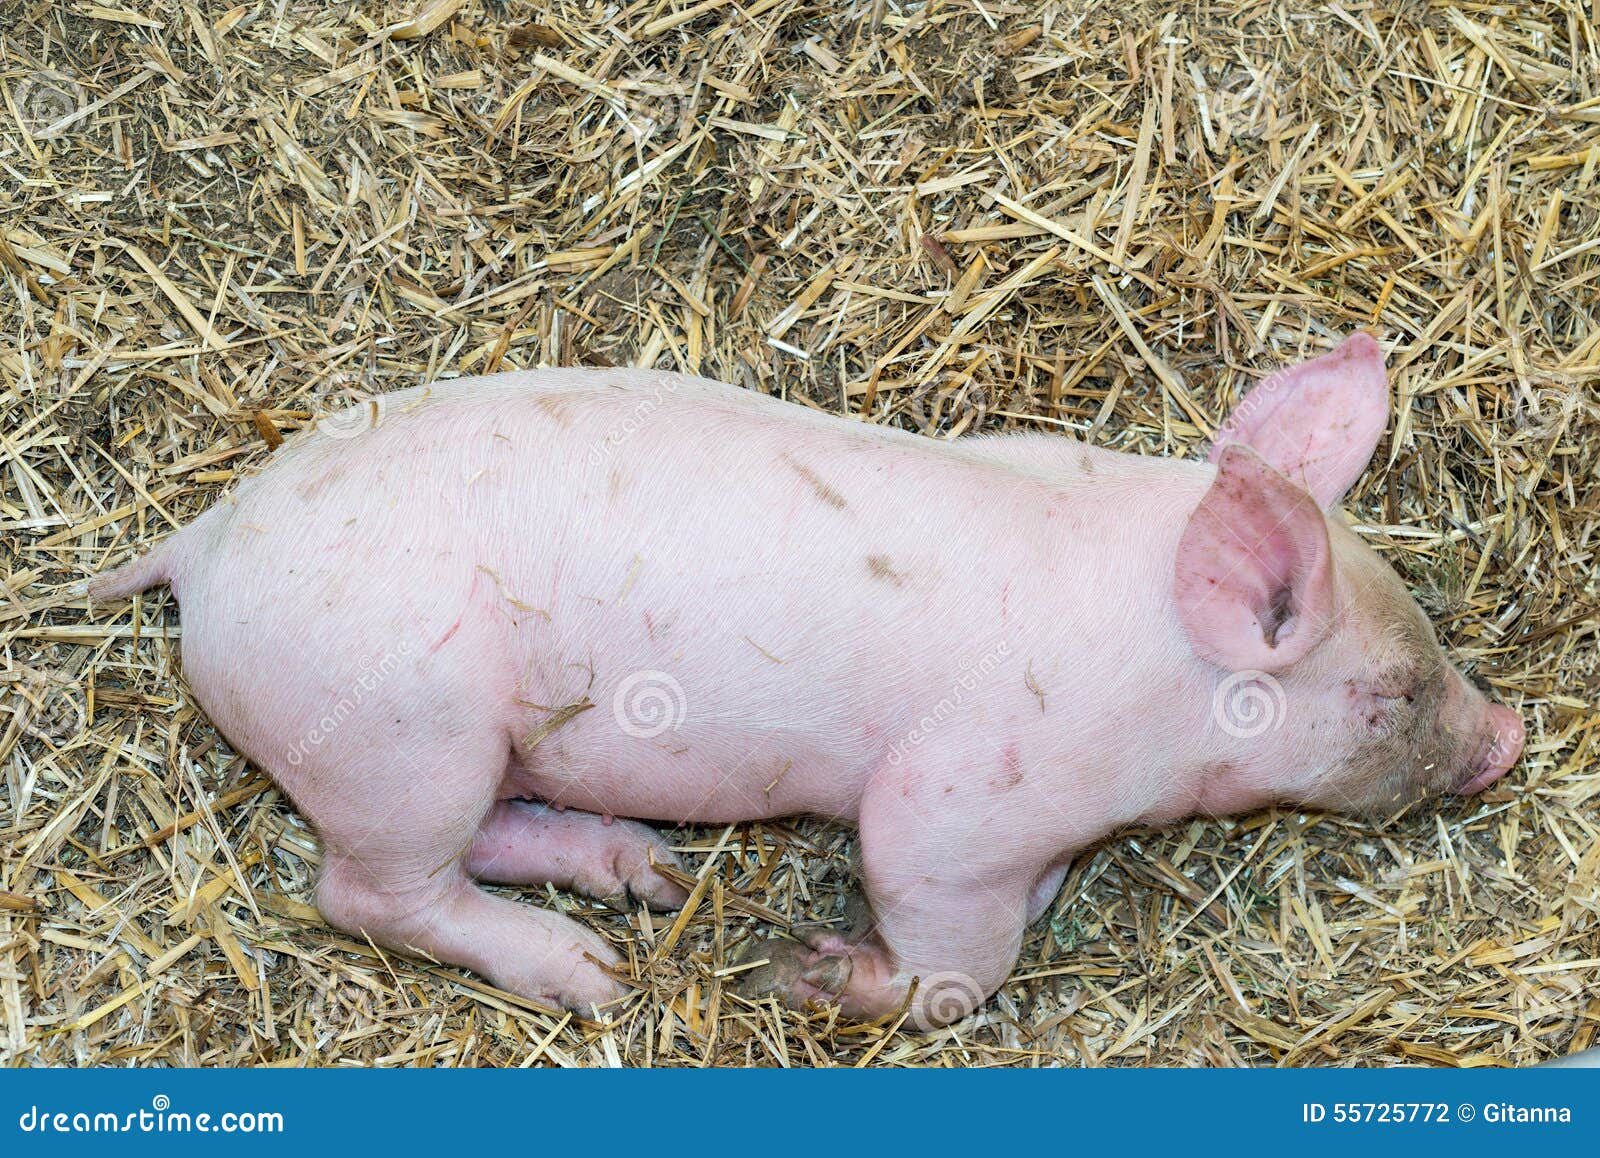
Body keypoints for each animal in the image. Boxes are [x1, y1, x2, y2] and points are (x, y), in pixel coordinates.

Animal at [88, 332, 1524, 1028]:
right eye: (1395, 691)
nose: (1507, 734)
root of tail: (200, 546)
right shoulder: (955, 807)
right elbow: (958, 959)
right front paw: (802, 975)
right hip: (401, 733)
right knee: (366, 892)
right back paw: (596, 977)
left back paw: (647, 878)